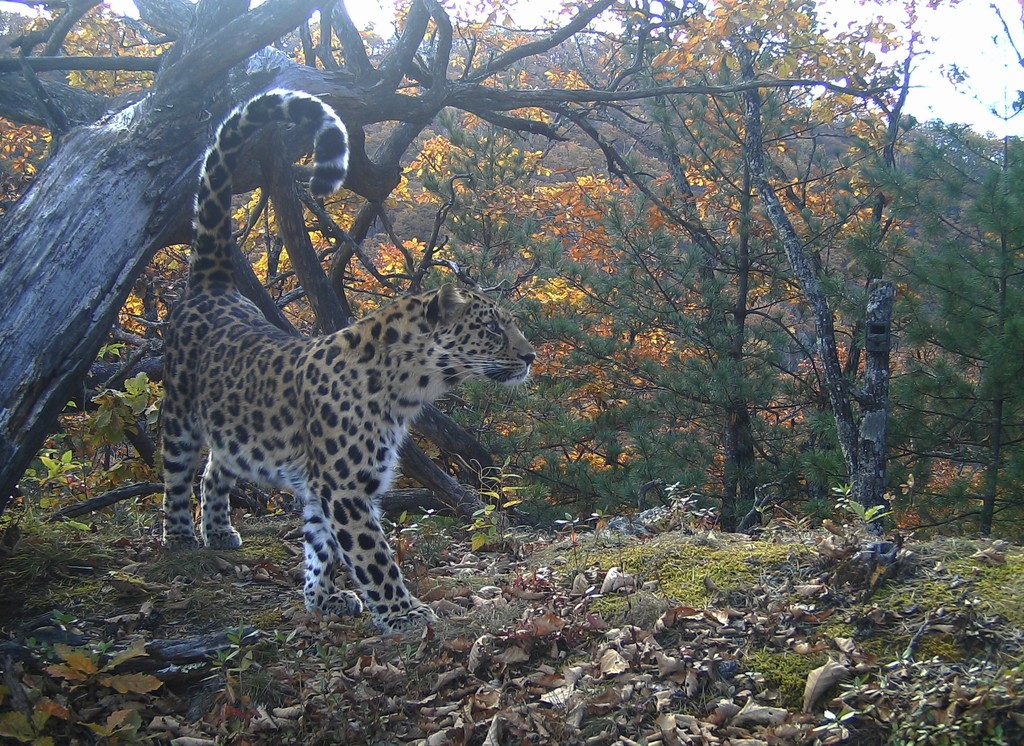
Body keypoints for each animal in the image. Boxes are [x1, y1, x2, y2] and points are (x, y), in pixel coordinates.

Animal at [160, 89, 536, 634]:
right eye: (491, 329)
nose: (531, 356)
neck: (409, 390)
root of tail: (214, 286)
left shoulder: (325, 487)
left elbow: (320, 546)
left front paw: (323, 598)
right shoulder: (345, 489)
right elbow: (371, 554)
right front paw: (403, 612)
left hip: (232, 429)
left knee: (215, 470)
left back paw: (219, 533)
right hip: (179, 414)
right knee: (176, 473)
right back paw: (180, 540)